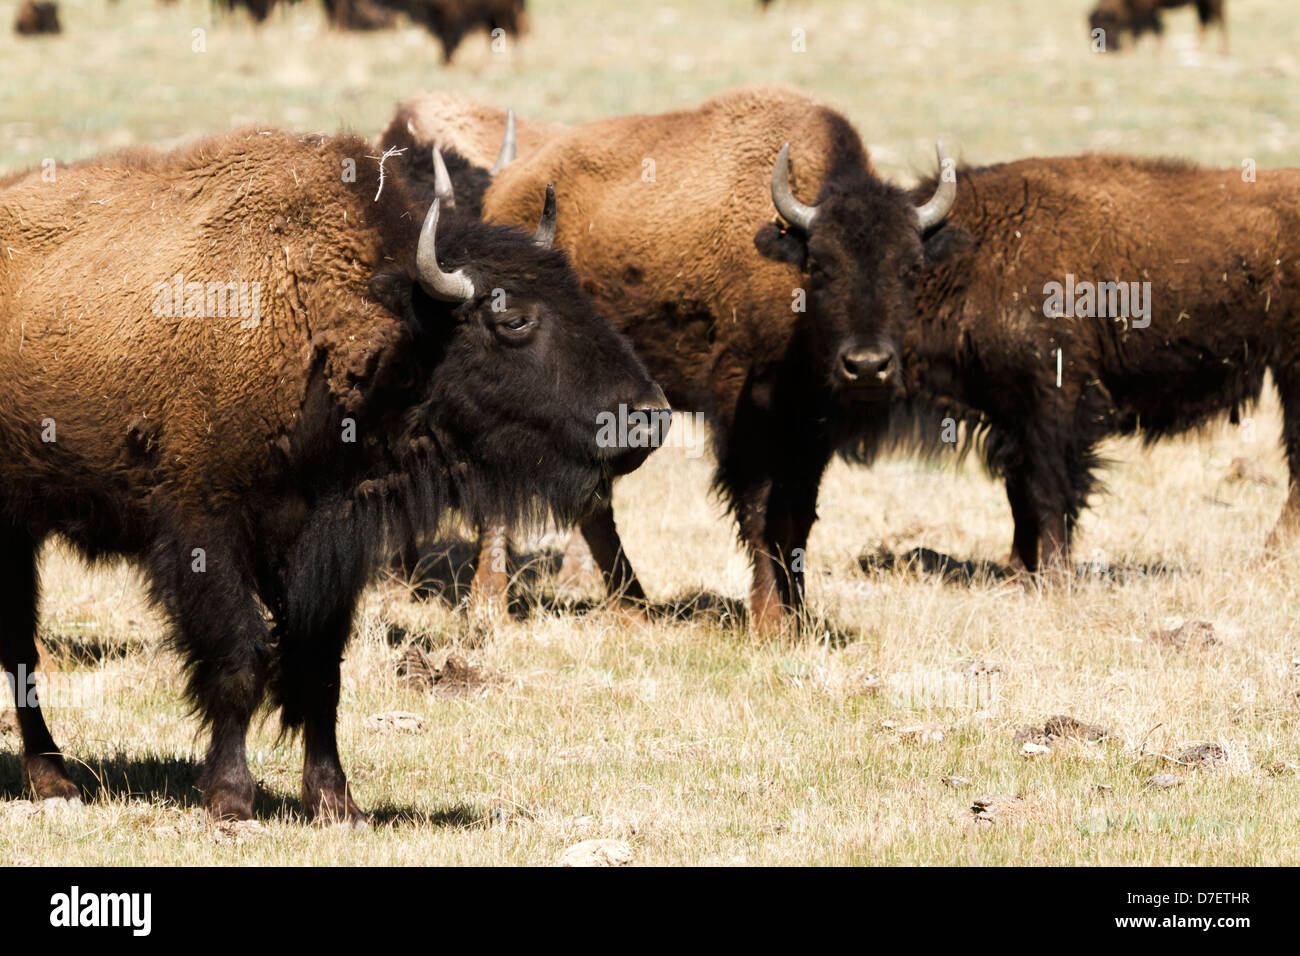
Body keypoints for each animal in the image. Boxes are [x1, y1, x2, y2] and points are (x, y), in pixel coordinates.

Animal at [0, 129, 663, 821]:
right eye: (514, 320)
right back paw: (54, 782)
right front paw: (231, 798)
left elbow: (319, 670)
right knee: (20, 648)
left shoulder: (326, 542)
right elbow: (238, 661)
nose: (648, 418)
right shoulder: (204, 532)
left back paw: (53, 779)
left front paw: (336, 801)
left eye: (581, 297)